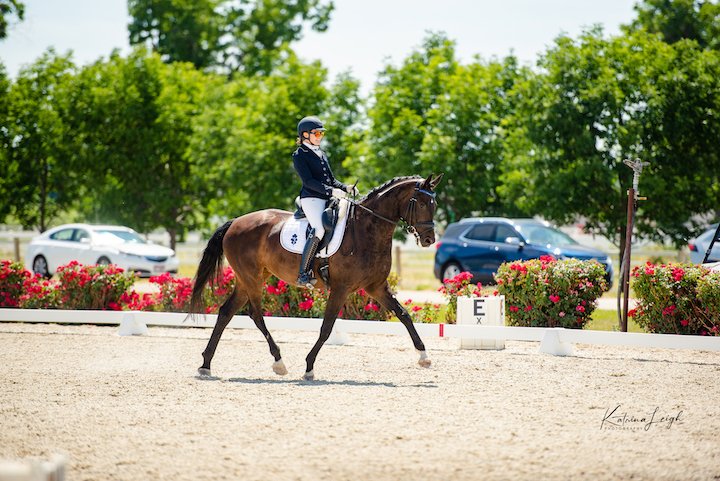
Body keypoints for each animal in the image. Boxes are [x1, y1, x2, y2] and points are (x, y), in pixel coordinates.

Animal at [189, 173, 443, 380]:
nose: (429, 239)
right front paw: (309, 367)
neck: (366, 230)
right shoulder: (341, 288)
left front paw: (424, 356)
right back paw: (279, 363)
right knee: (255, 315)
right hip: (251, 278)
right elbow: (327, 327)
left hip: (249, 278)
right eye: (421, 203)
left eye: (435, 204)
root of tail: (236, 222)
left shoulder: (376, 286)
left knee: (226, 312)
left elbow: (404, 315)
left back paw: (205, 364)